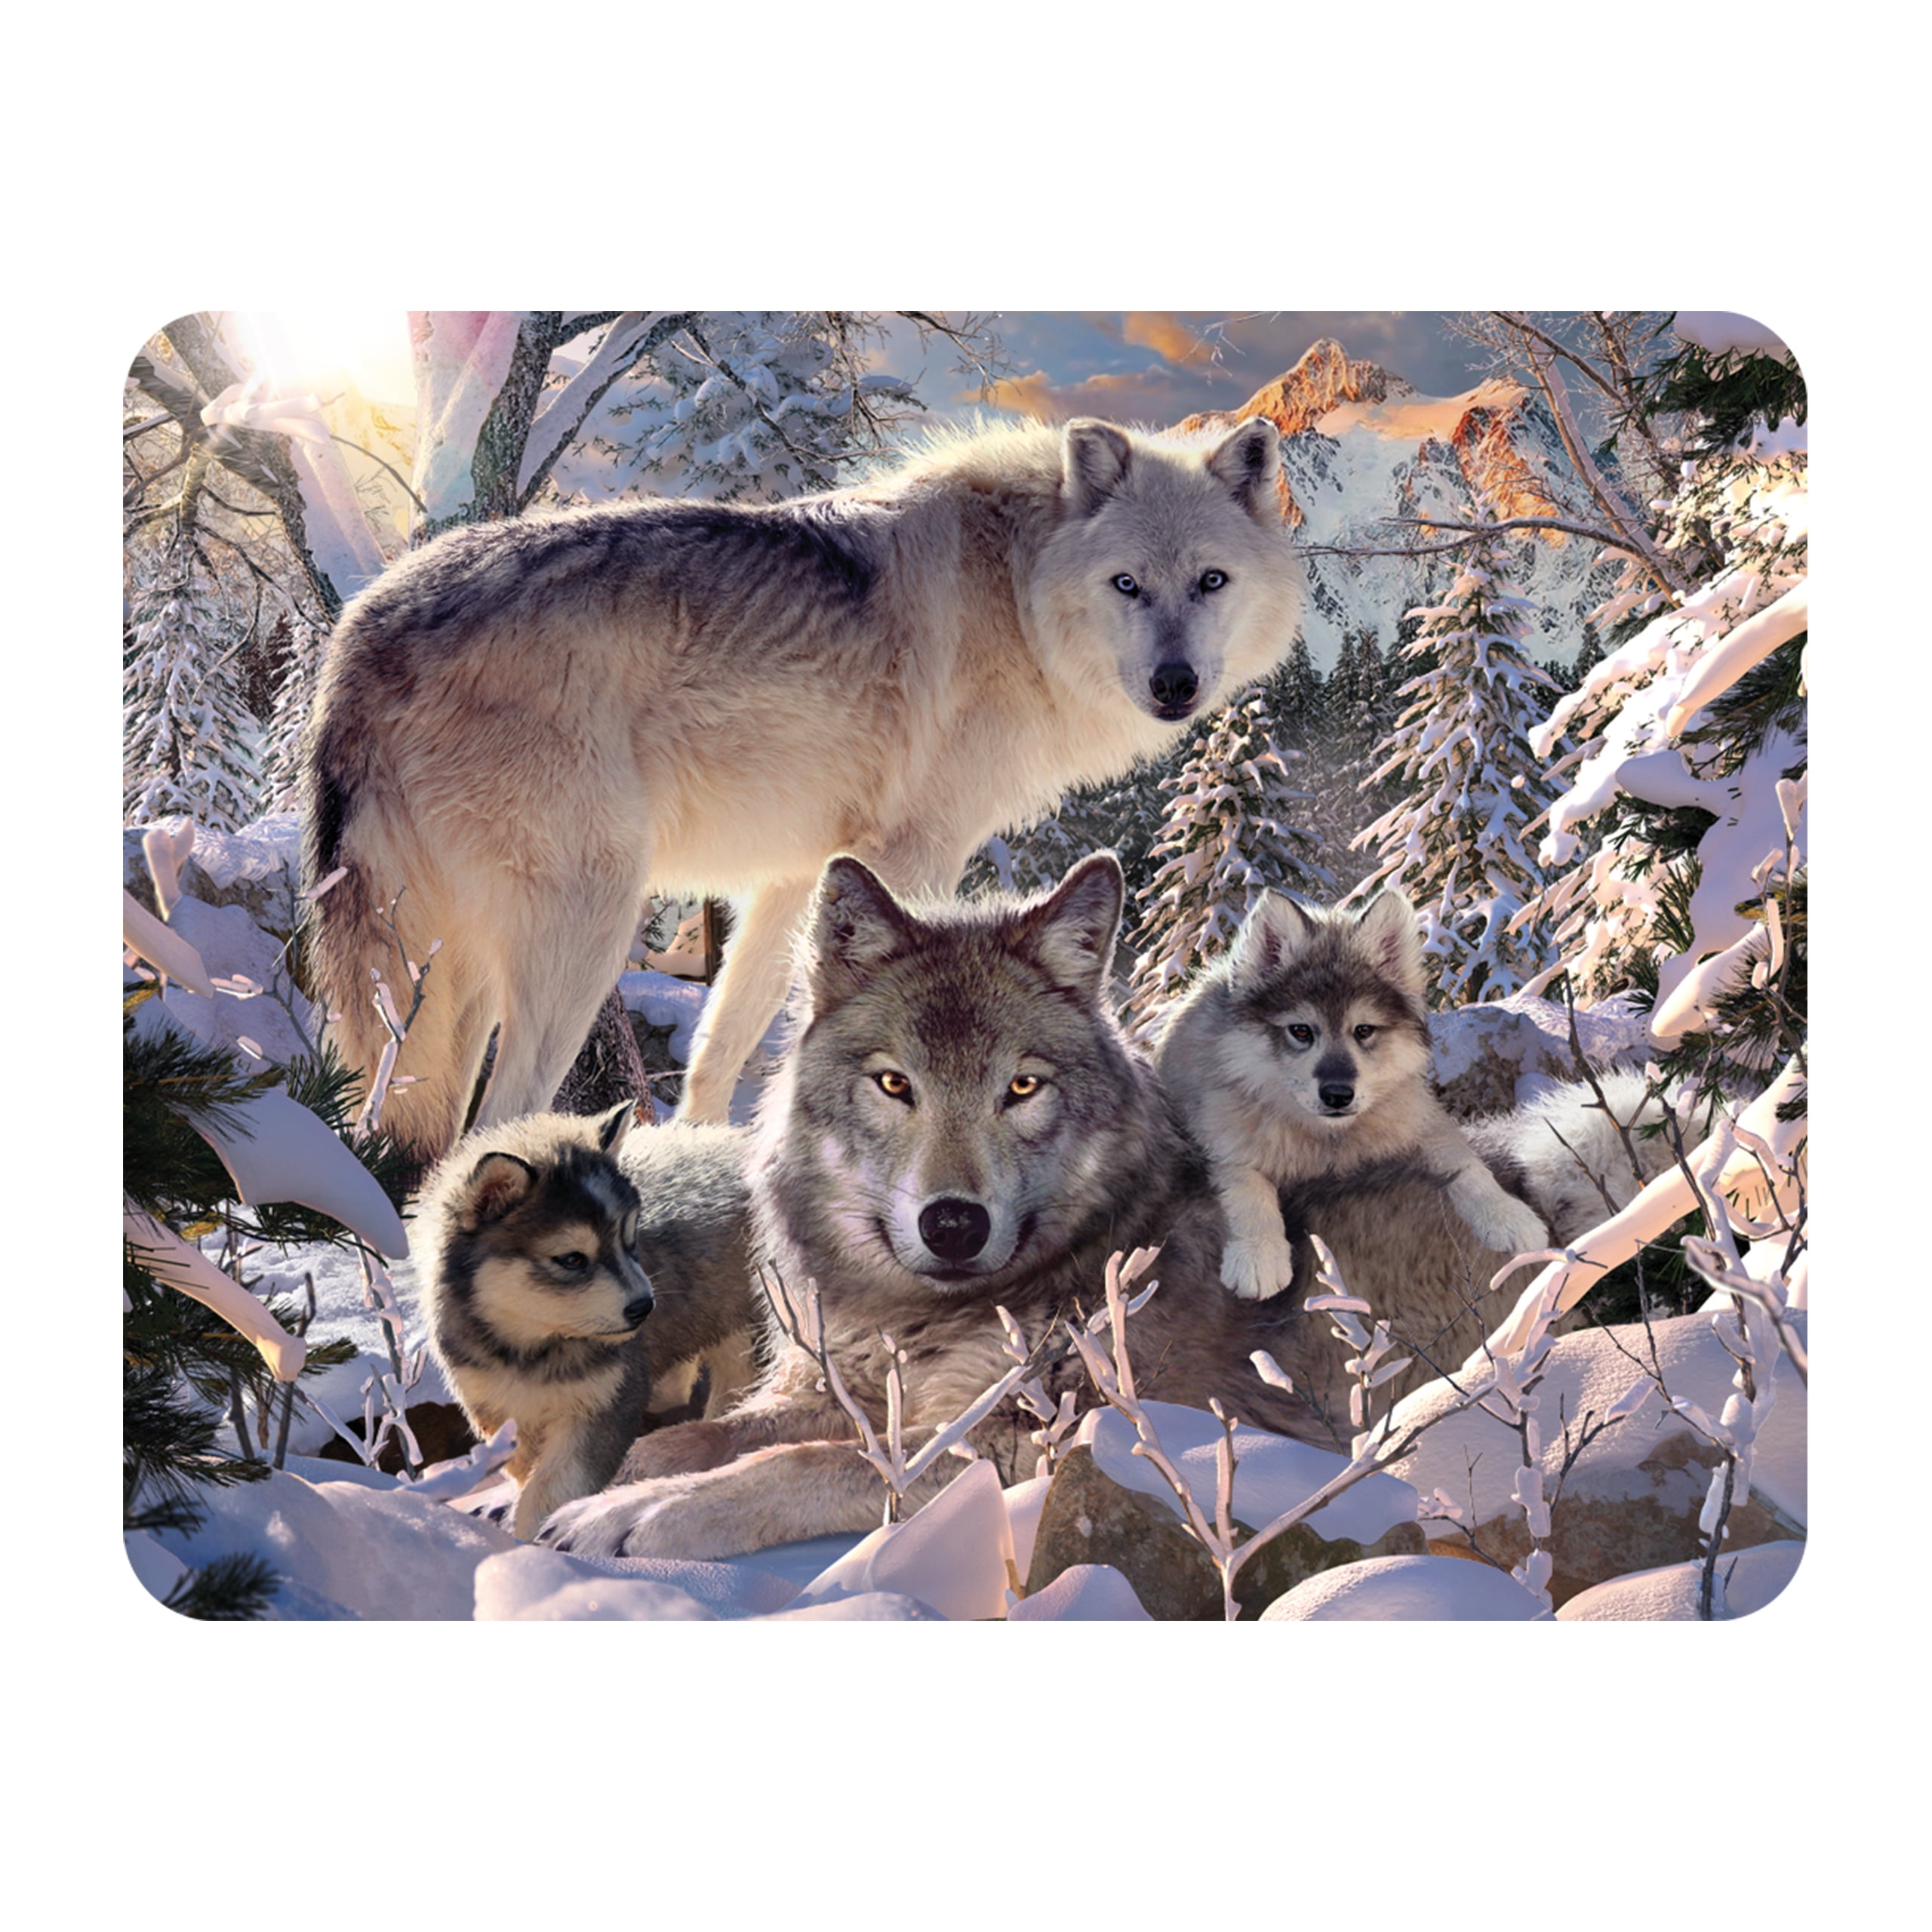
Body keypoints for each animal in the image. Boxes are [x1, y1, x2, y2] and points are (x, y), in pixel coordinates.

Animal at [301, 413, 1303, 1157]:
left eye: (1210, 581)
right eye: (1127, 584)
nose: (1175, 684)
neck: (1018, 592)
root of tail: (363, 629)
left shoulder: (795, 874)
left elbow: (720, 1048)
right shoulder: (916, 854)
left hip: (451, 976)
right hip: (586, 925)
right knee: (500, 1119)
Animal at [415, 1102, 762, 1539]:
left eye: (630, 1240)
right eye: (573, 1259)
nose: (644, 1307)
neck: (533, 1347)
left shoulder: (605, 1405)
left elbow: (553, 1488)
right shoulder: (500, 1407)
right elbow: (528, 1473)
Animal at [537, 852, 1320, 1562]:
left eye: (1022, 1088)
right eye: (894, 1083)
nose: (953, 1225)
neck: (913, 1318)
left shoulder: (1044, 1432)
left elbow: (808, 1460)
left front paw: (635, 1511)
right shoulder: (843, 1389)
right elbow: (711, 1432)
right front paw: (616, 1474)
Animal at [1150, 888, 1552, 1306]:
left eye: (1364, 1030)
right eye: (1301, 1031)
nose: (1338, 1095)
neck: (1330, 1141)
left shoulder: (1421, 1123)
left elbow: (1468, 1166)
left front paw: (1509, 1215)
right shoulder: (1222, 1140)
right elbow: (1246, 1186)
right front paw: (1259, 1255)